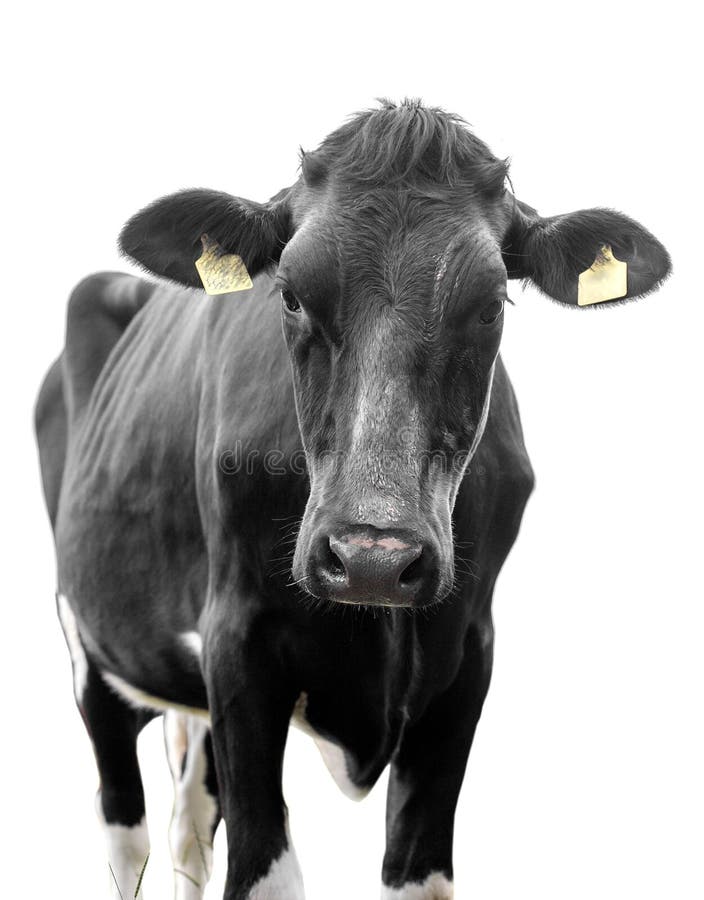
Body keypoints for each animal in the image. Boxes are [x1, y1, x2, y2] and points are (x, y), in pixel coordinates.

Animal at [35, 99, 670, 900]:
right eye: (290, 294)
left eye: (492, 306)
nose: (373, 557)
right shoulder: (237, 639)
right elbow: (263, 866)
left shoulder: (469, 653)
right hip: (88, 644)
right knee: (126, 827)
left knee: (187, 824)